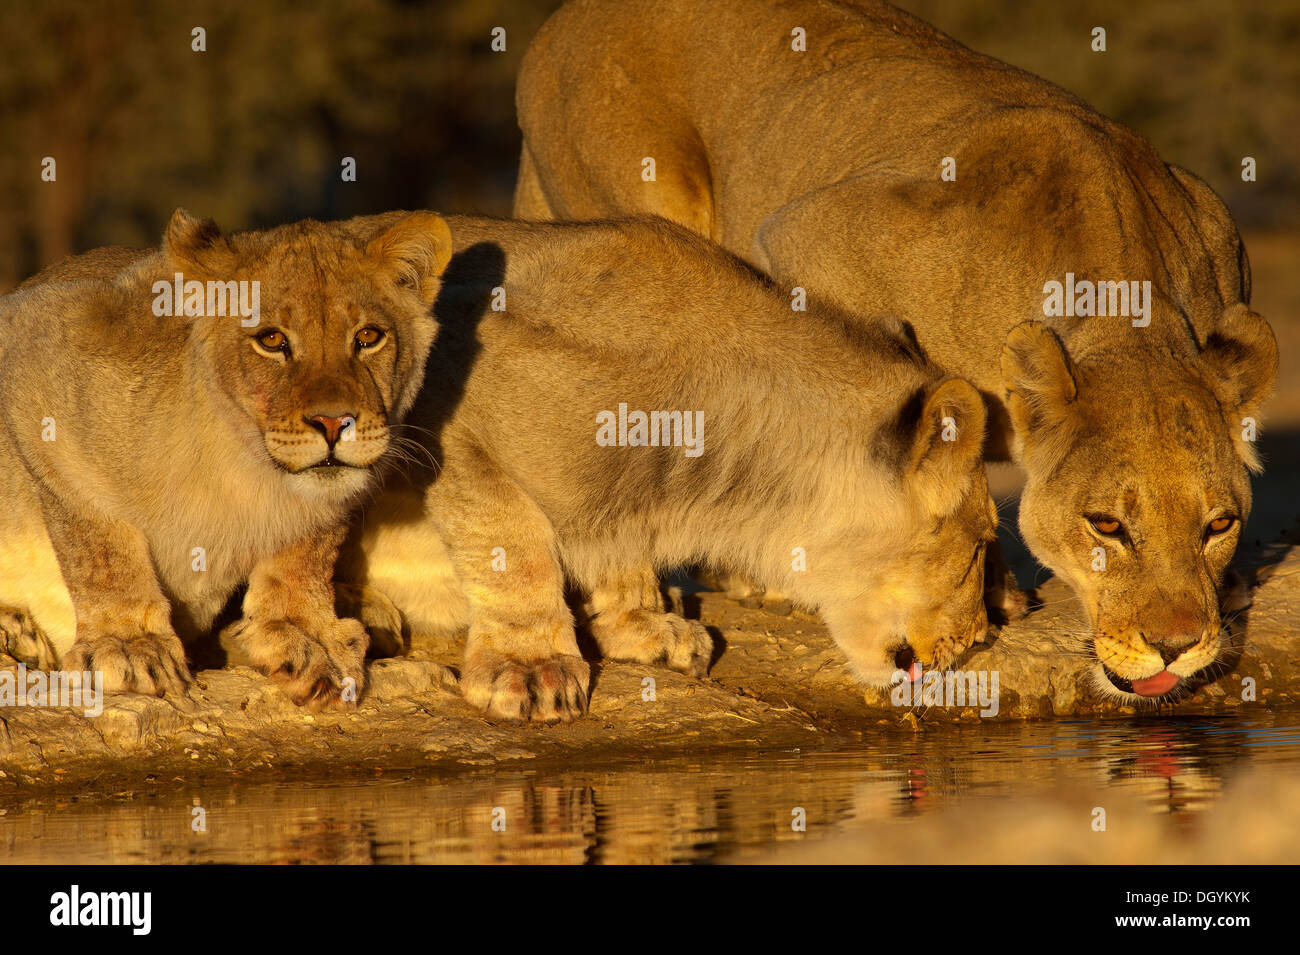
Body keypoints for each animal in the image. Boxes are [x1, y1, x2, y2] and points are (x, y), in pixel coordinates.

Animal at [0, 208, 452, 707]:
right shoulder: (38, 351)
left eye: (369, 336)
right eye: (271, 340)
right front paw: (129, 644)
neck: (244, 470)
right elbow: (98, 541)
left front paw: (305, 632)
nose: (335, 423)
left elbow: (306, 550)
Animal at [331, 212, 998, 721]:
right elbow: (511, 543)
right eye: (980, 545)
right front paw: (532, 667)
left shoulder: (625, 502)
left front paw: (642, 623)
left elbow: (620, 553)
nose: (979, 639)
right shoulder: (444, 401)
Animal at [512, 0, 1279, 702]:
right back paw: (668, 609)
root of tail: (561, 19)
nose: (1177, 646)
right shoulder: (808, 241)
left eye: (1219, 524)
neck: (1127, 320)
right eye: (1107, 525)